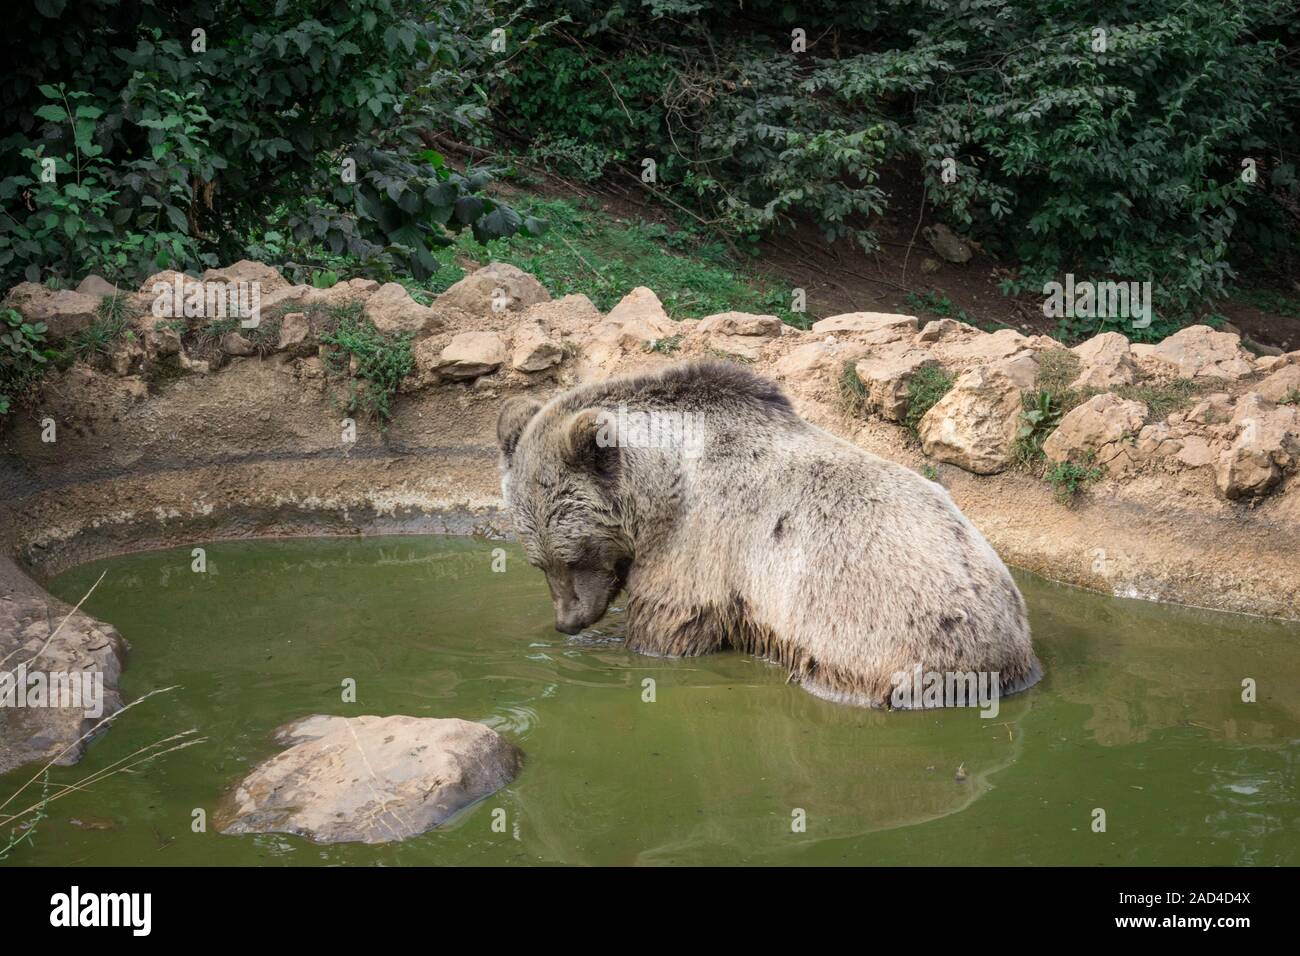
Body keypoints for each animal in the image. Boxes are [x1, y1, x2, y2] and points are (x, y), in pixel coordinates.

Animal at [496, 361, 1042, 708]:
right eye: (539, 561)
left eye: (574, 555)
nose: (568, 622)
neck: (663, 489)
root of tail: (1010, 647)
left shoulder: (699, 541)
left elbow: (671, 621)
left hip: (884, 633)